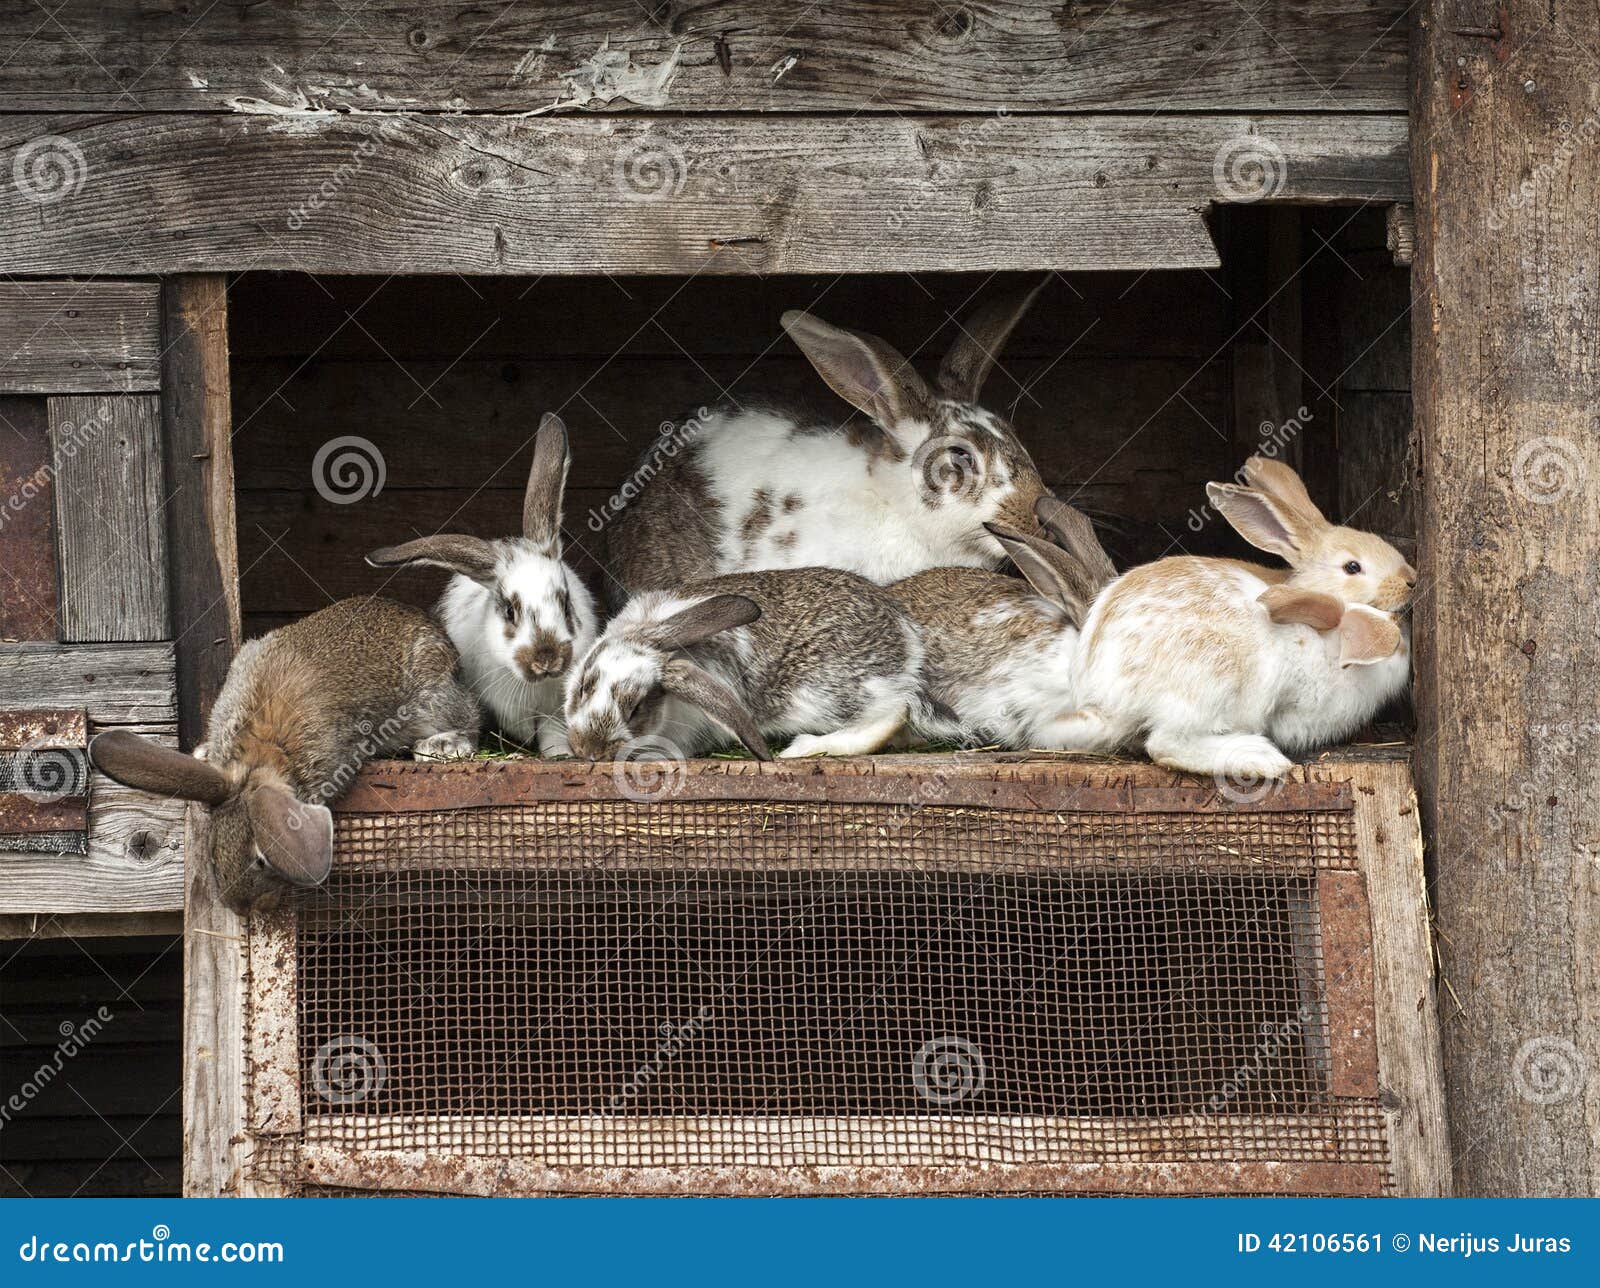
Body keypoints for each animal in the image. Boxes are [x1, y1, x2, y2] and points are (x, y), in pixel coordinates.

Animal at [88, 596, 481, 913]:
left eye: (262, 860)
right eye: (213, 848)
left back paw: (442, 747)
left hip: (435, 697)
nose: (242, 909)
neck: (261, 751)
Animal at [366, 412, 600, 757]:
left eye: (565, 603)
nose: (547, 659)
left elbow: (553, 733)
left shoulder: (553, 710)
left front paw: (560, 755)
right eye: (510, 611)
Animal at [564, 567, 927, 762]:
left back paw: (800, 750)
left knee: (893, 713)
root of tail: (907, 634)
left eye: (637, 709)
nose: (589, 752)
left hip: (831, 696)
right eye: (584, 686)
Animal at [1048, 456, 1416, 780]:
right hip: (1209, 682)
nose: (1411, 579)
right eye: (1352, 567)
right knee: (1165, 744)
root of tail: (1104, 696)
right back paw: (1259, 759)